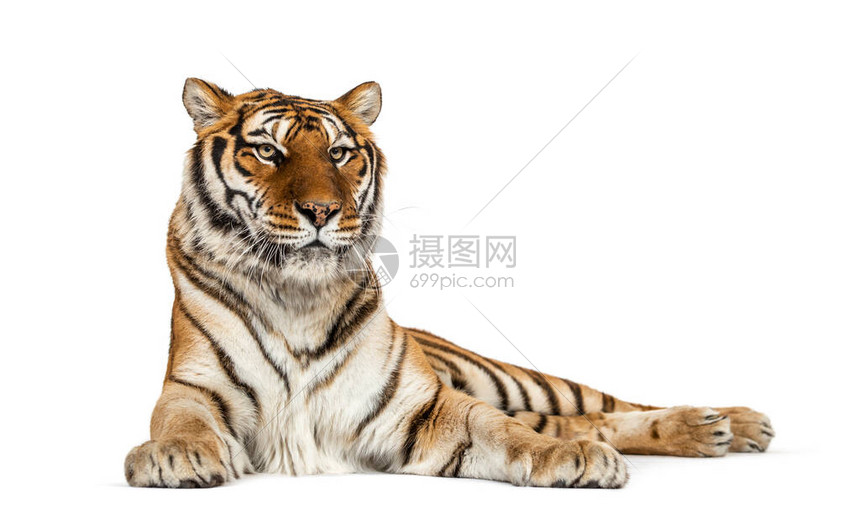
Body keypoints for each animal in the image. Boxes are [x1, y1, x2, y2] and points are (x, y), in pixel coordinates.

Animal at [124, 78, 774, 489]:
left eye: (339, 154)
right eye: (266, 151)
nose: (322, 211)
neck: (298, 299)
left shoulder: (422, 404)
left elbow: (505, 430)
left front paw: (574, 459)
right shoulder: (194, 387)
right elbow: (181, 420)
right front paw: (175, 455)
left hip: (513, 377)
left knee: (603, 406)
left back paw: (730, 423)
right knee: (583, 416)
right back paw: (715, 431)